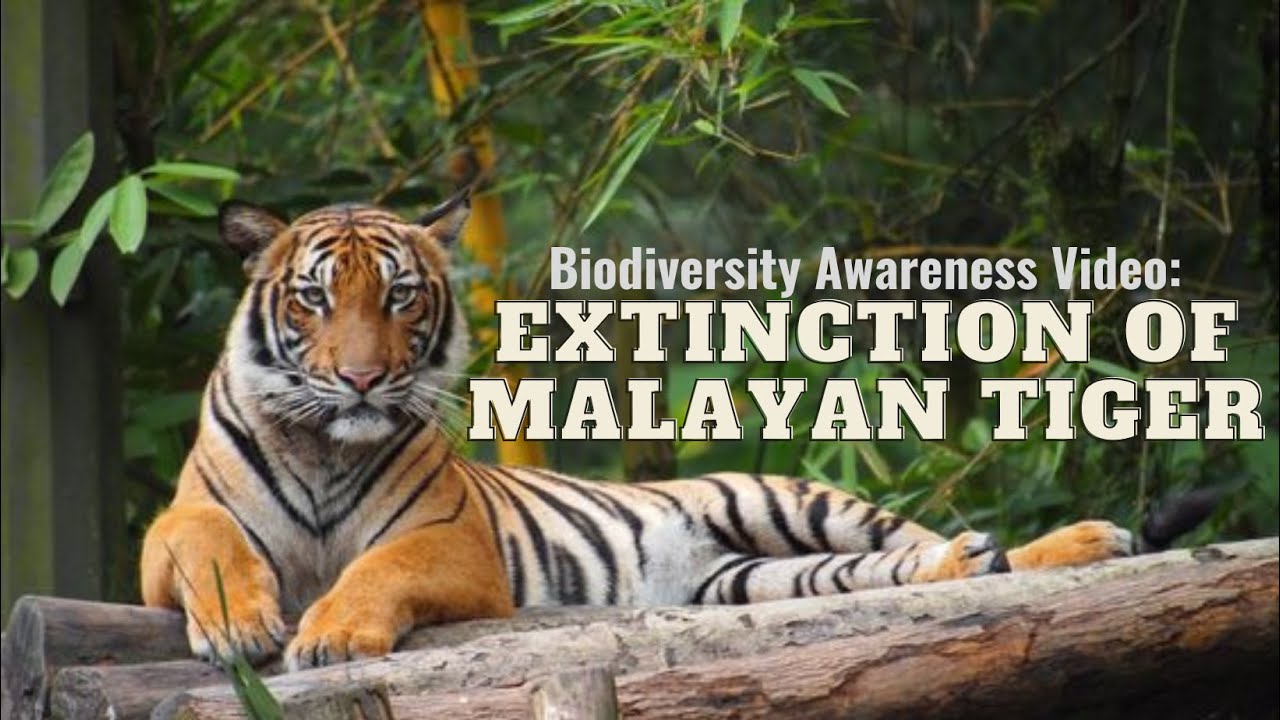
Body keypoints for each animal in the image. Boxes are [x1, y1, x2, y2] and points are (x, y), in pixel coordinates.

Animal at [140, 191, 1198, 672]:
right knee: (915, 567)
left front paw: (330, 635)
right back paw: (993, 557)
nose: (362, 377)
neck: (327, 443)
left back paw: (1082, 542)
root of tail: (692, 556)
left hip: (795, 501)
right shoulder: (169, 532)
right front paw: (239, 624)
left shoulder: (450, 540)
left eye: (399, 296)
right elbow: (205, 541)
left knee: (941, 544)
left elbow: (376, 569)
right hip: (759, 576)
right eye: (315, 298)